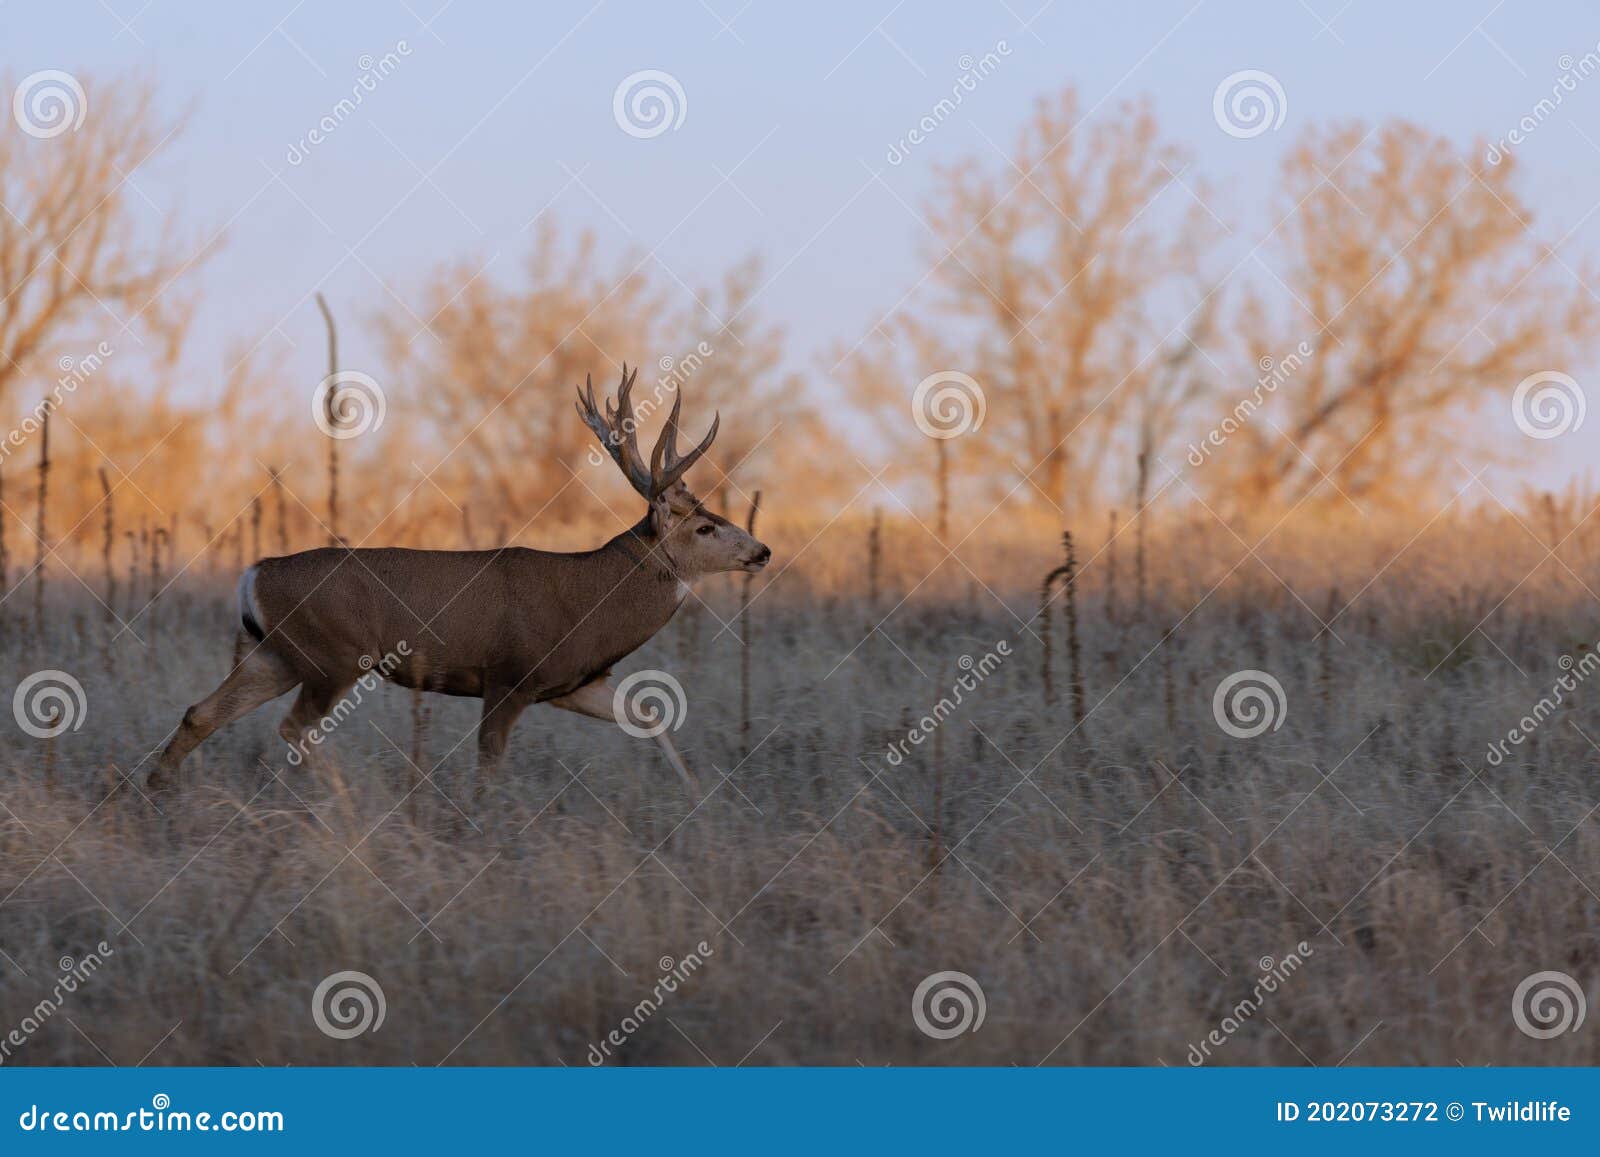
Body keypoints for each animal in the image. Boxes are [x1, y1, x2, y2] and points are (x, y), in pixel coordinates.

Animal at [146, 365, 771, 797]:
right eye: (707, 526)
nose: (762, 551)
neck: (590, 596)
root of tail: (254, 574)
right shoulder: (509, 674)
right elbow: (487, 768)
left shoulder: (574, 683)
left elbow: (650, 718)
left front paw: (697, 797)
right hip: (332, 656)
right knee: (293, 729)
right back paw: (349, 804)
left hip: (274, 654)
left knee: (201, 712)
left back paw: (156, 793)